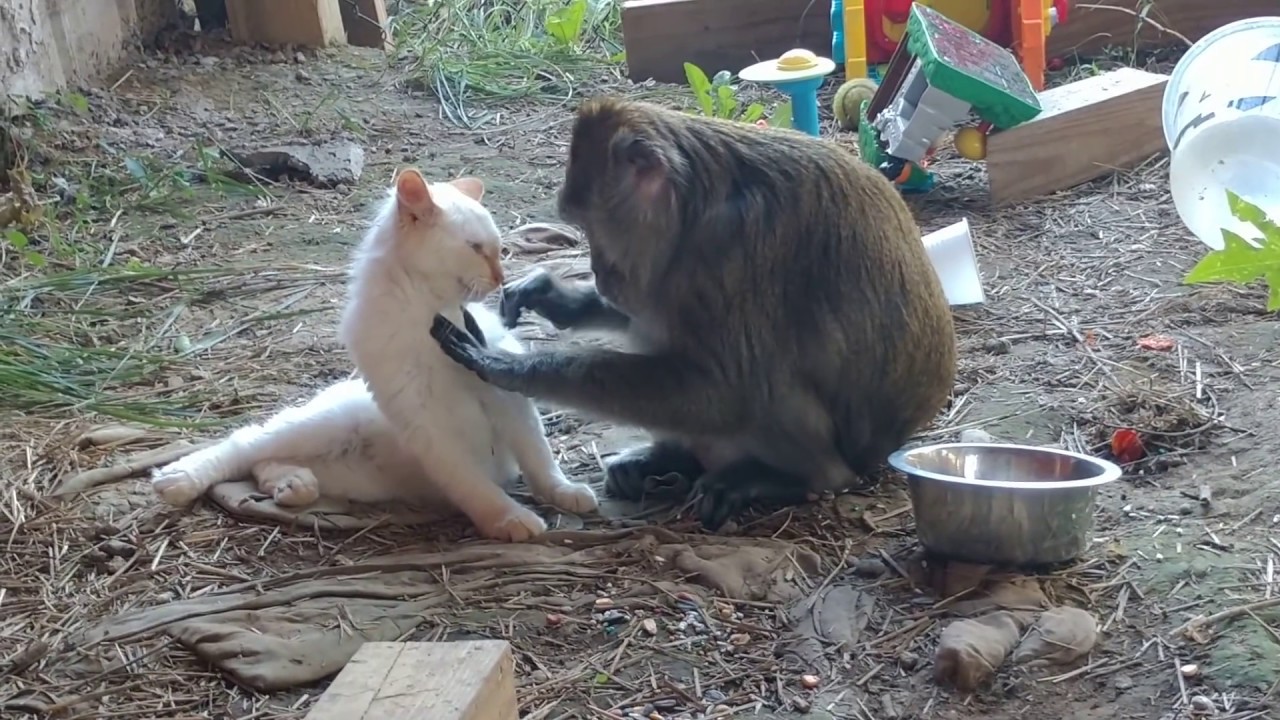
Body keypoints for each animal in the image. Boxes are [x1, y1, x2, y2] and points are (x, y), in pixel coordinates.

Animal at [430, 96, 957, 531]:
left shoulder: (730, 246)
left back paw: (791, 476)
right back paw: (671, 458)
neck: (700, 199)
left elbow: (727, 390)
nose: (599, 271)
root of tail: (885, 449)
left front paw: (512, 367)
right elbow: (642, 312)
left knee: (764, 390)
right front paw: (554, 296)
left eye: (595, 225)